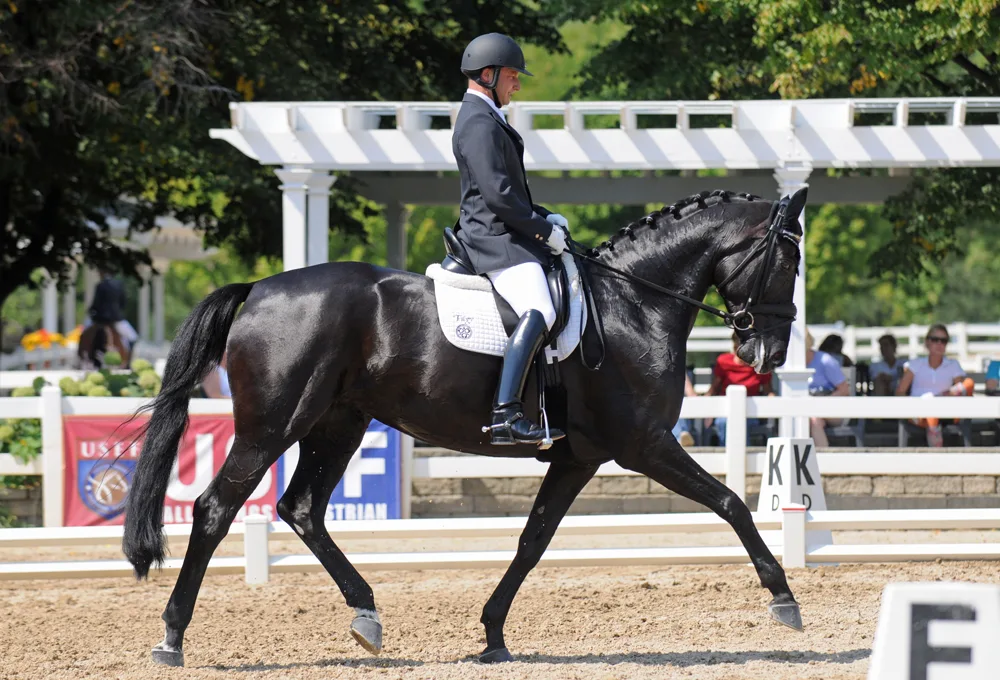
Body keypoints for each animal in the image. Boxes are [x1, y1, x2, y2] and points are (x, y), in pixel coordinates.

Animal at [122, 188, 807, 667]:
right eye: (787, 260)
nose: (768, 353)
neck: (634, 305)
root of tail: (260, 289)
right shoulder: (643, 445)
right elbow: (730, 502)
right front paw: (784, 600)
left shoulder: (578, 457)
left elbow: (533, 541)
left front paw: (493, 634)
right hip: (273, 425)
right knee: (216, 508)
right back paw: (172, 636)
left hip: (338, 424)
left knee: (303, 509)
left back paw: (367, 615)